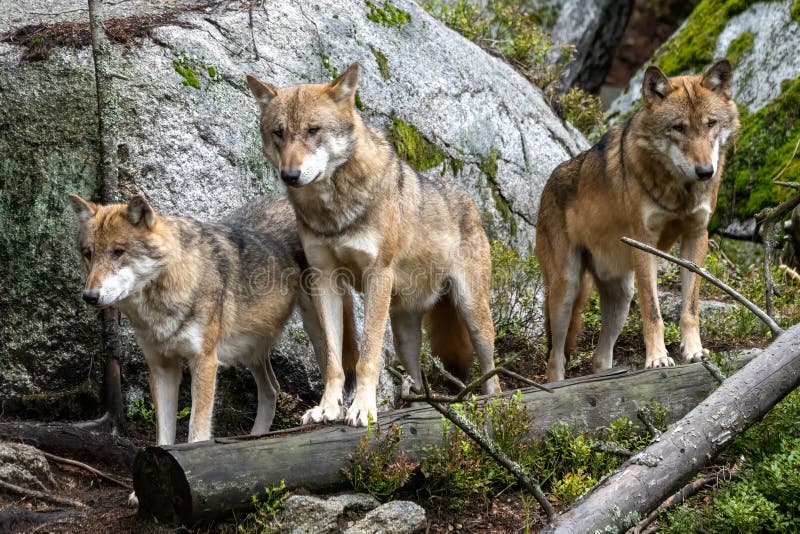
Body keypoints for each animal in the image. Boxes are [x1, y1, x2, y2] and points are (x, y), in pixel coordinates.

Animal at [247, 62, 501, 427]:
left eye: (313, 130)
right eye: (279, 133)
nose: (290, 175)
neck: (334, 210)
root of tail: (467, 197)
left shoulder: (377, 275)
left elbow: (367, 356)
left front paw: (362, 409)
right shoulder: (325, 279)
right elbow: (334, 360)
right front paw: (327, 408)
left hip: (472, 314)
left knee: (493, 371)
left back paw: (494, 403)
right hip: (404, 330)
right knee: (416, 375)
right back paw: (414, 406)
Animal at [535, 59, 740, 382]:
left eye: (711, 124)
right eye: (678, 128)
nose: (706, 171)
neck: (679, 189)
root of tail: (548, 182)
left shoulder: (697, 235)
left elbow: (690, 308)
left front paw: (695, 351)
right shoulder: (645, 242)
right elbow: (653, 312)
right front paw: (657, 358)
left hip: (621, 297)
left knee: (599, 358)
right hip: (566, 291)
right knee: (555, 360)